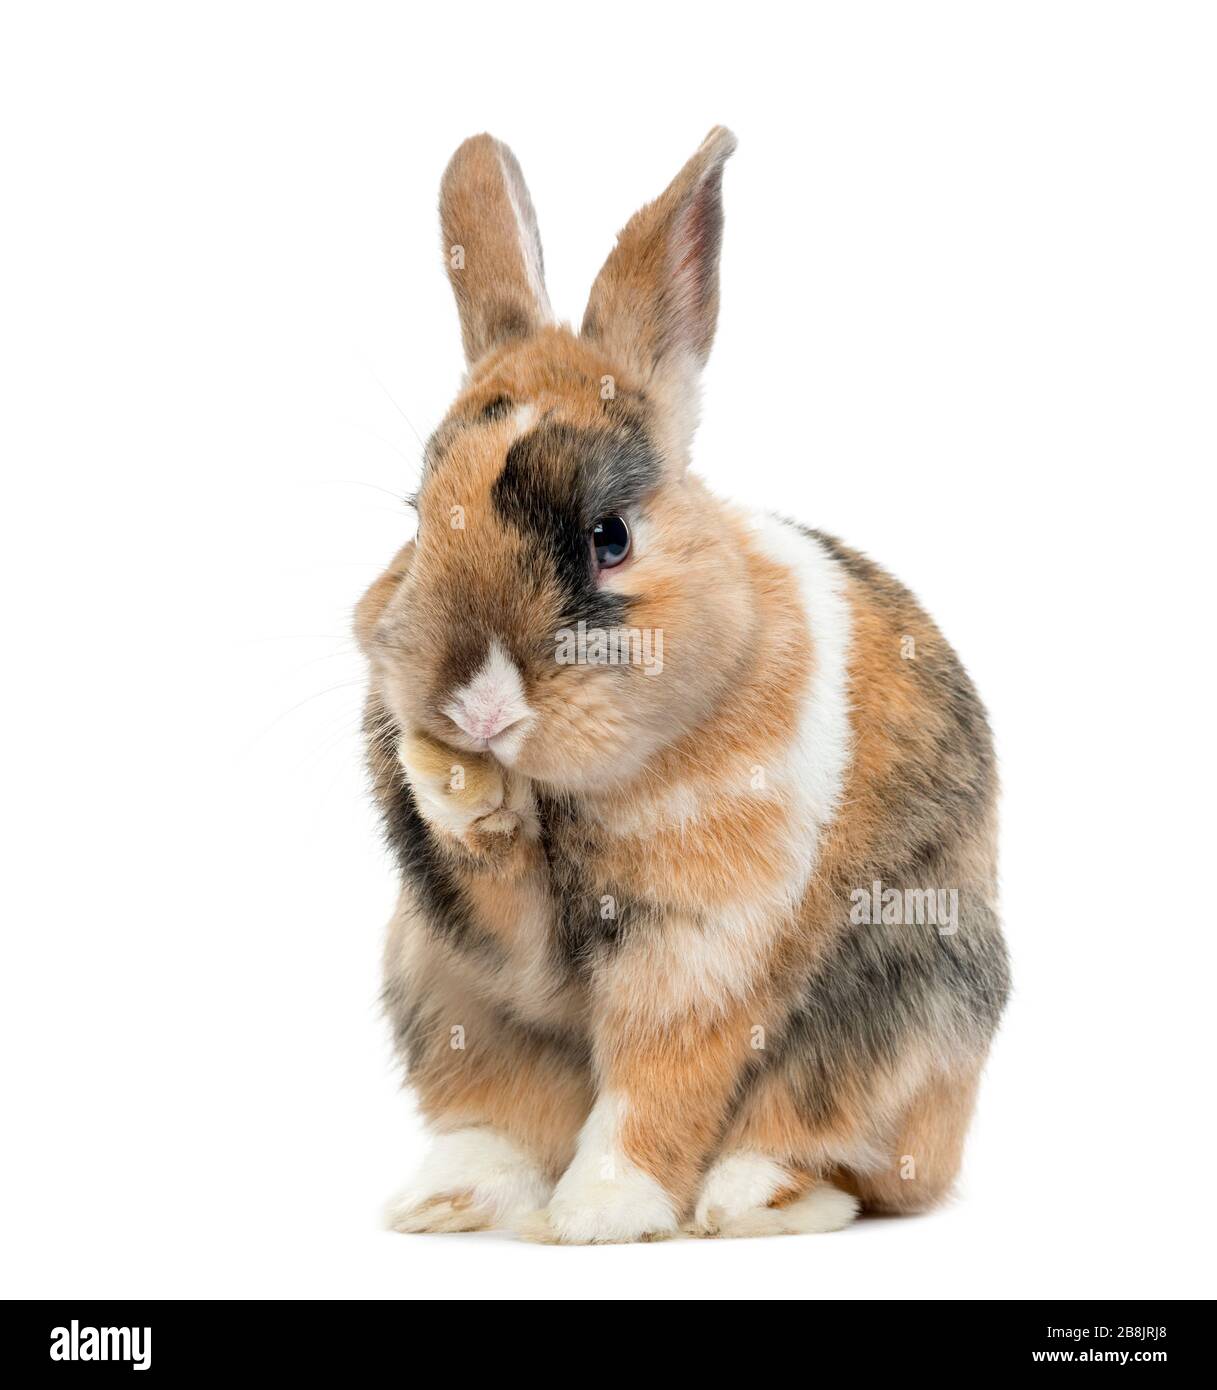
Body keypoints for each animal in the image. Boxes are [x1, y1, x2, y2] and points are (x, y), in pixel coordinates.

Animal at [356, 127, 1009, 1243]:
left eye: (609, 536)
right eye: (418, 511)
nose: (475, 707)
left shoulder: (702, 952)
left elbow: (654, 1085)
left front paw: (598, 1215)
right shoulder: (490, 933)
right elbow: (498, 893)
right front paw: (455, 786)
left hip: (906, 1008)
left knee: (851, 1158)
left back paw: (752, 1199)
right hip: (435, 989)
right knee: (500, 1120)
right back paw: (444, 1199)